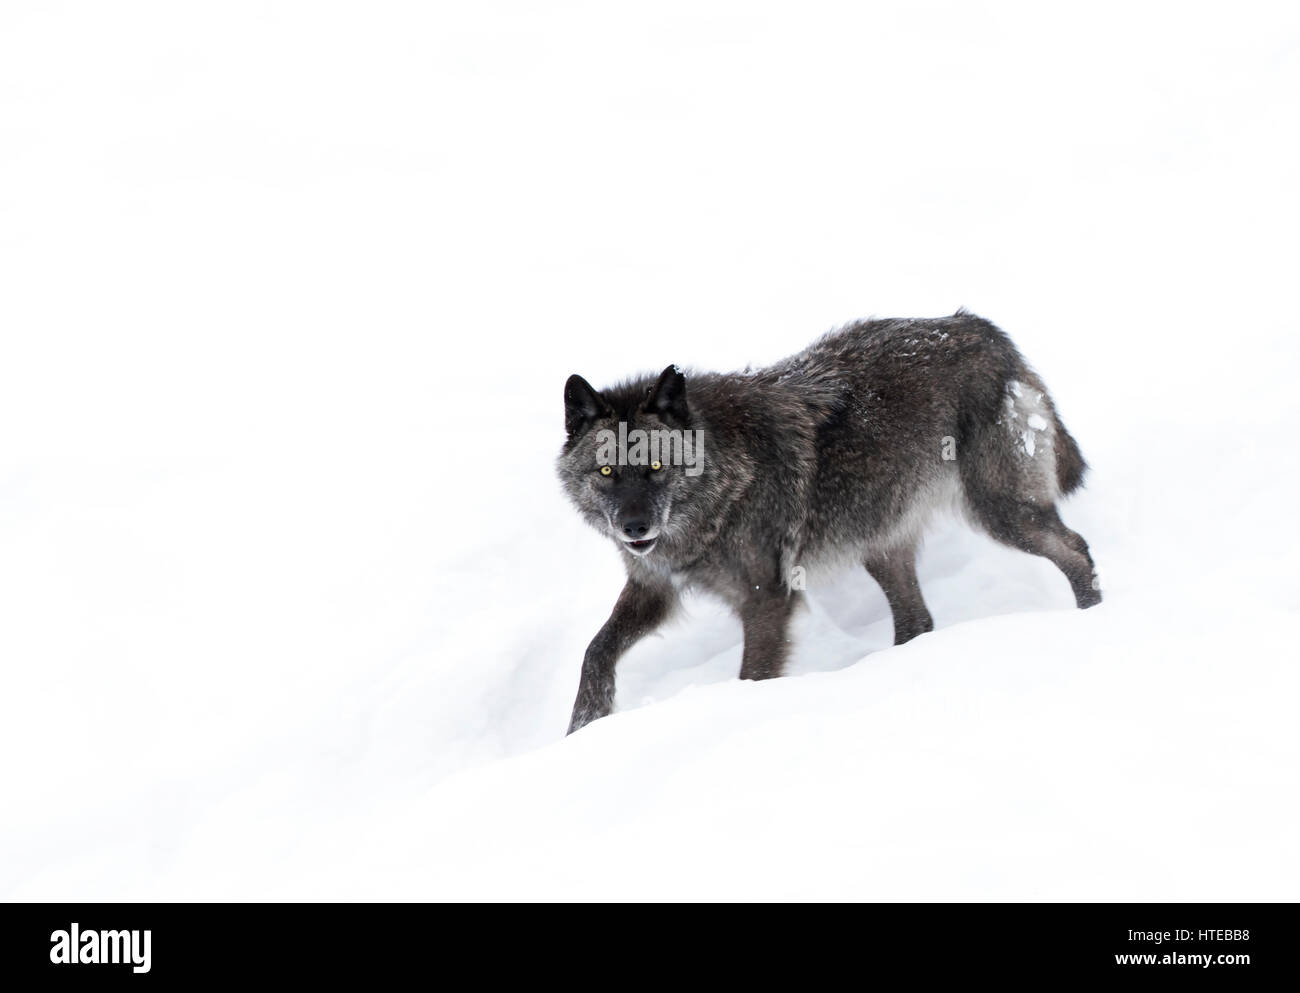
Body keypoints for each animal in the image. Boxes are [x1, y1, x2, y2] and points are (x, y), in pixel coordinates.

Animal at [557, 310, 1100, 734]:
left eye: (656, 467)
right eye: (606, 472)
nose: (634, 529)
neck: (721, 487)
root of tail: (979, 328)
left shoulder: (767, 599)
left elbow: (753, 676)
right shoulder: (653, 586)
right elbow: (595, 650)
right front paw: (582, 728)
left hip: (1000, 514)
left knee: (1075, 548)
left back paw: (1093, 620)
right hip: (878, 544)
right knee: (918, 620)